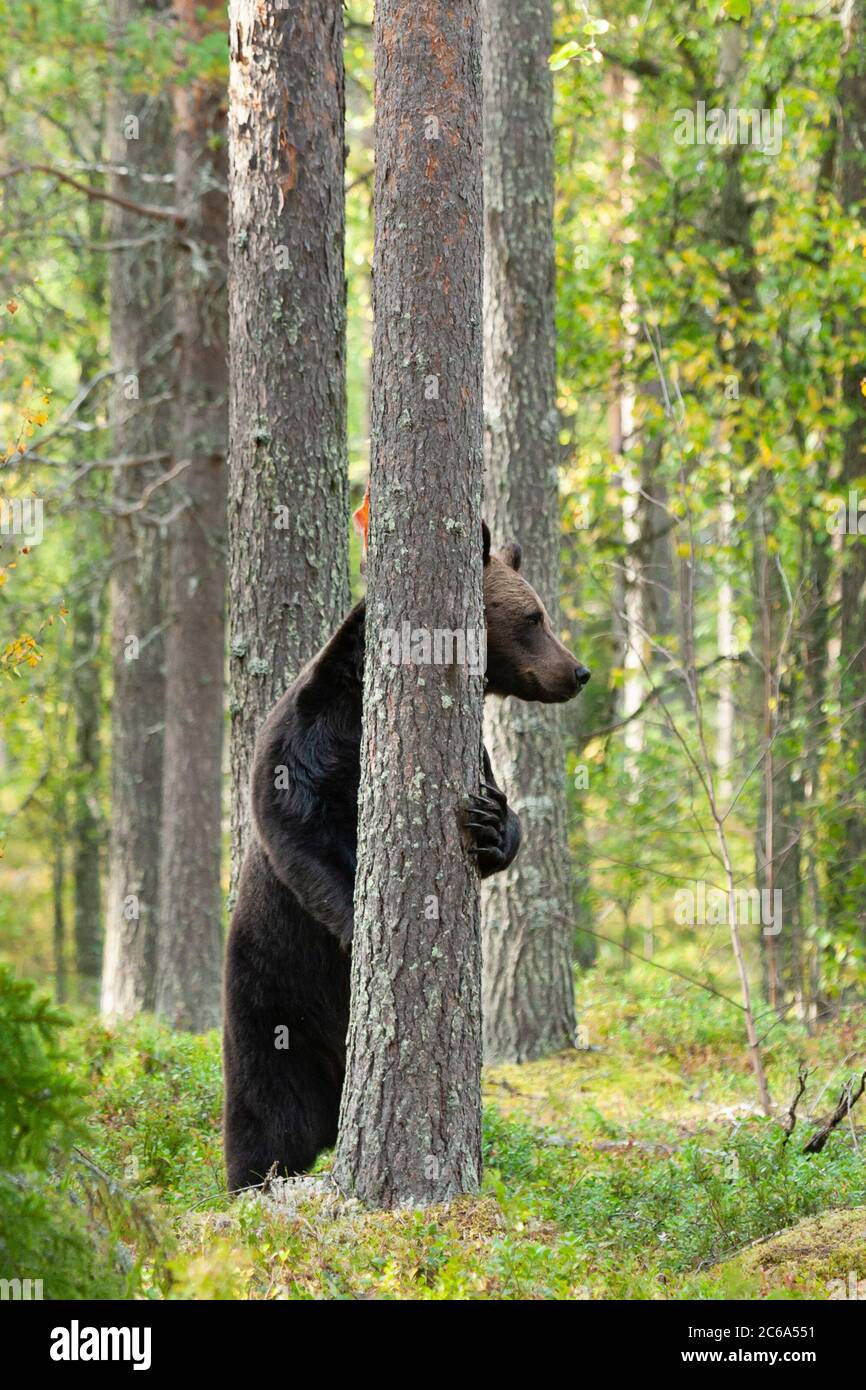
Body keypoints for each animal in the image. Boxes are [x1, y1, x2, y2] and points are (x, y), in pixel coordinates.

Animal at [222, 522, 589, 1193]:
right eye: (534, 617)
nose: (578, 671)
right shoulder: (315, 733)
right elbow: (293, 821)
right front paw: (356, 919)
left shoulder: (472, 751)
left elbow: (495, 804)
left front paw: (492, 826)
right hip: (268, 989)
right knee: (266, 1106)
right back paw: (253, 1179)